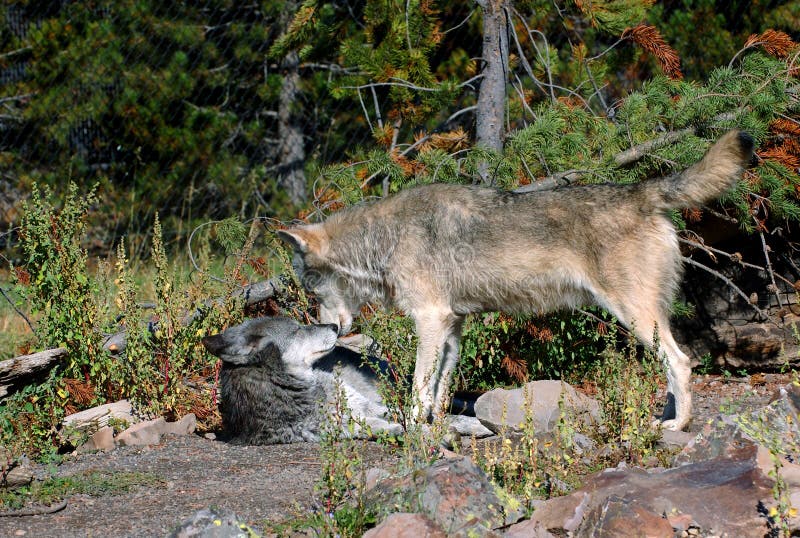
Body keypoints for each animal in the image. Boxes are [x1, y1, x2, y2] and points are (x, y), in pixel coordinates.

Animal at [202, 316, 402, 444]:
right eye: (298, 329)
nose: (334, 326)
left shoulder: (362, 404)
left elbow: (393, 412)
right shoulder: (329, 428)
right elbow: (372, 425)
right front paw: (399, 429)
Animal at [278, 130, 754, 431]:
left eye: (311, 287)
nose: (329, 328)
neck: (383, 238)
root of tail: (643, 190)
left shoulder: (430, 320)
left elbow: (418, 387)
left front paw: (412, 429)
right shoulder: (452, 325)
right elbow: (440, 387)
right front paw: (437, 426)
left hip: (635, 316)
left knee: (682, 362)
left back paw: (679, 425)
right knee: (677, 365)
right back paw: (668, 418)